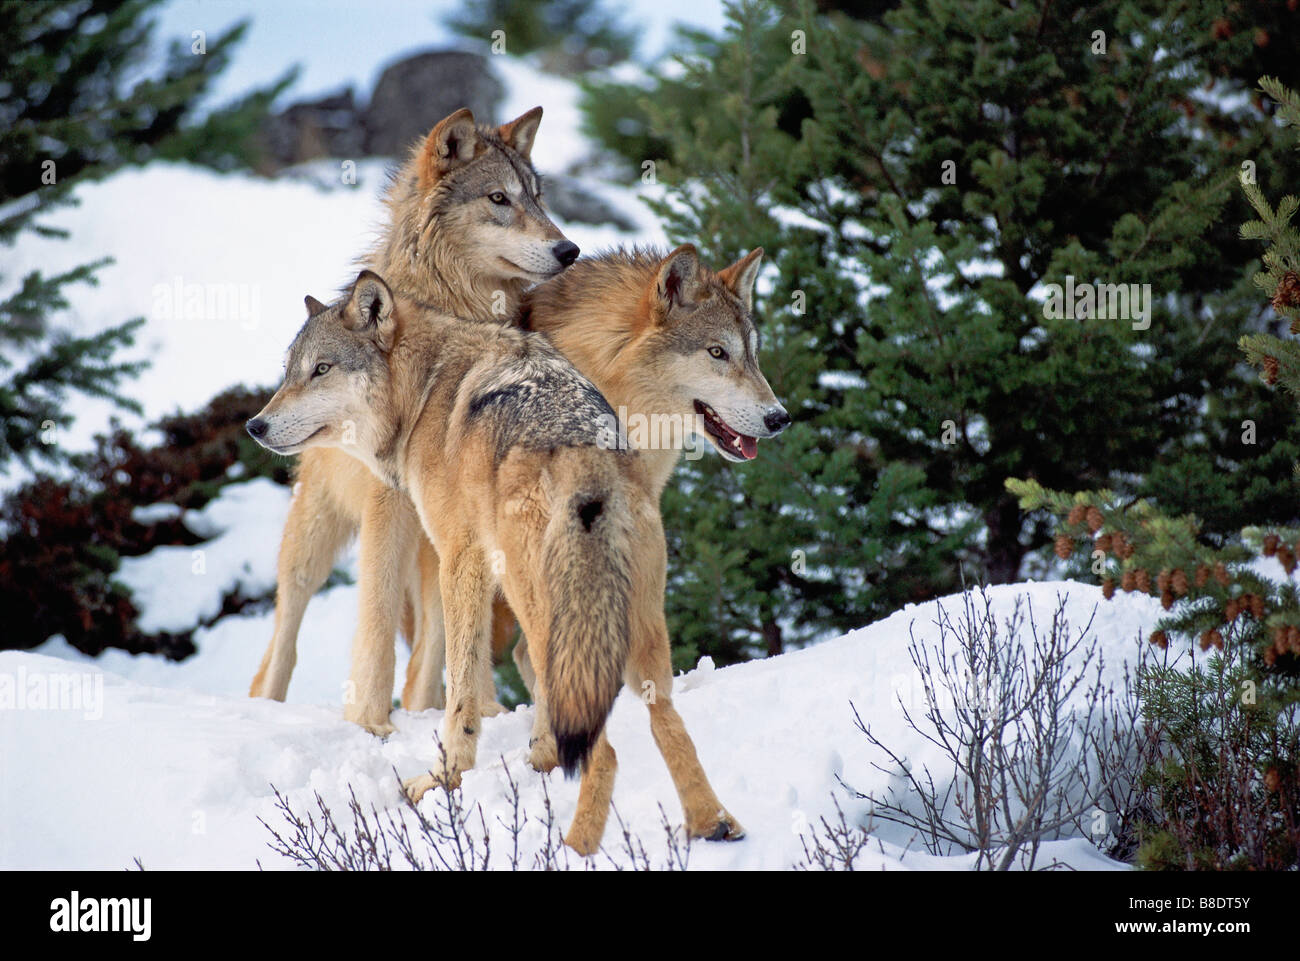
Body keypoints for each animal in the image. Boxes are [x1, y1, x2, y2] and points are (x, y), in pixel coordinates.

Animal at [247, 106, 576, 734]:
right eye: (499, 198)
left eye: (539, 197)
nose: (568, 249)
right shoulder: (387, 507)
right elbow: (375, 612)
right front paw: (369, 720)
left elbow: (447, 635)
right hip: (314, 536)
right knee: (282, 638)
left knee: (433, 638)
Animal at [247, 271, 746, 855]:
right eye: (290, 372)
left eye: (321, 369)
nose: (255, 426)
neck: (423, 393)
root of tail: (586, 458)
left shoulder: (459, 557)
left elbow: (460, 686)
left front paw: (443, 779)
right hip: (634, 625)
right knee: (666, 719)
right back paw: (711, 823)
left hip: (545, 612)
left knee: (602, 748)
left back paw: (573, 847)